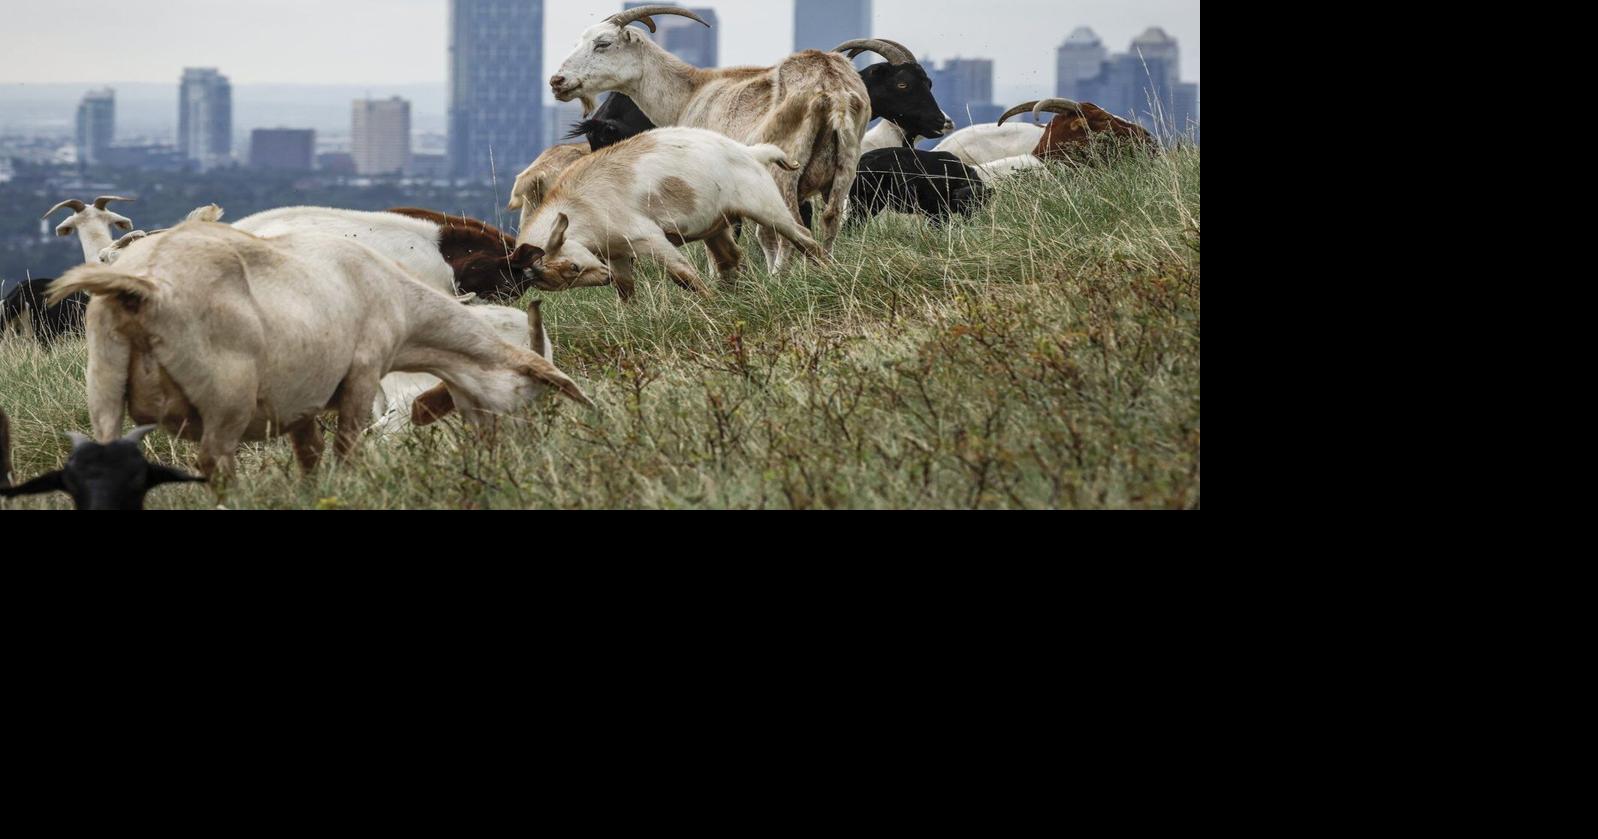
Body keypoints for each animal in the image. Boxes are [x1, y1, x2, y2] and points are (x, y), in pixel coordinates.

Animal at [50, 222, 592, 478]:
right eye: (528, 396)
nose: (516, 453)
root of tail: (141, 286)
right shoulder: (363, 375)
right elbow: (350, 445)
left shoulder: (302, 398)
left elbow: (311, 456)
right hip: (225, 393)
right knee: (215, 462)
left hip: (104, 386)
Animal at [517, 128, 828, 301]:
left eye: (572, 267)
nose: (603, 277)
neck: (582, 203)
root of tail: (751, 152)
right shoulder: (616, 251)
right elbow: (625, 287)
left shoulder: (648, 238)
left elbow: (682, 274)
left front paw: (709, 303)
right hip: (716, 227)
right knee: (729, 258)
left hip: (766, 205)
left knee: (803, 237)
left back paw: (826, 269)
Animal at [550, 5, 869, 269]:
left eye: (603, 43)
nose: (557, 81)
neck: (692, 92)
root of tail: (832, 88)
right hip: (844, 166)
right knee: (829, 220)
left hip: (784, 172)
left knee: (794, 230)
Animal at [848, 148, 988, 228]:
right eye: (966, 205)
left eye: (979, 205)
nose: (973, 223)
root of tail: (861, 162)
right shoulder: (936, 211)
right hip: (868, 204)